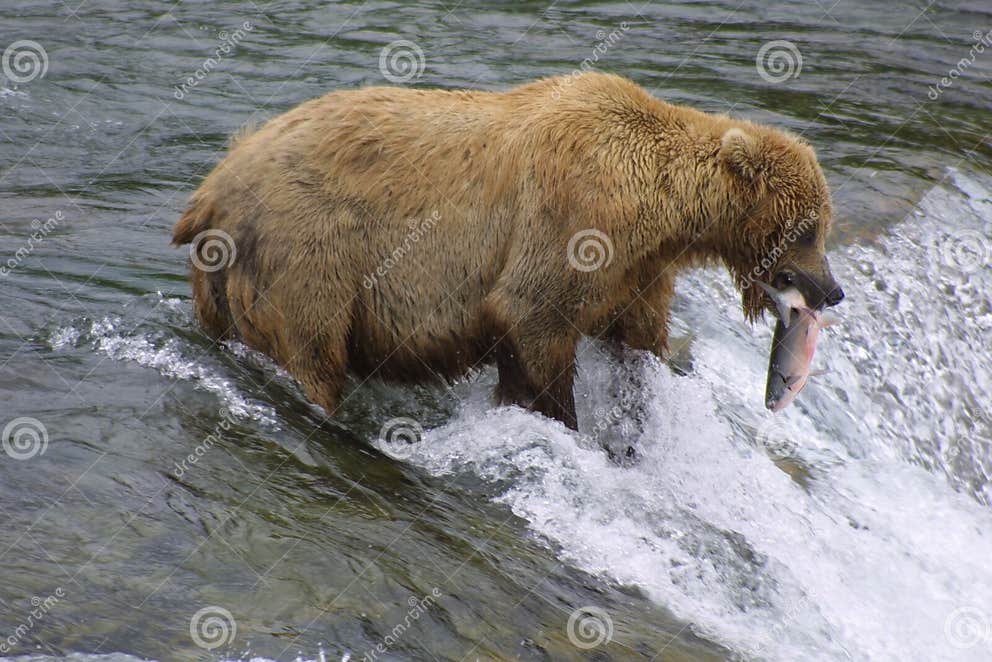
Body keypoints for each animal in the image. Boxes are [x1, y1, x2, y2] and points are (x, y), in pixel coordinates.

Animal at [172, 72, 844, 430]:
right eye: (808, 227)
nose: (832, 289)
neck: (663, 210)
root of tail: (212, 187)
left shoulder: (637, 270)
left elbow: (637, 334)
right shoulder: (575, 219)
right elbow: (533, 317)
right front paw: (564, 422)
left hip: (223, 280)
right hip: (311, 251)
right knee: (314, 349)